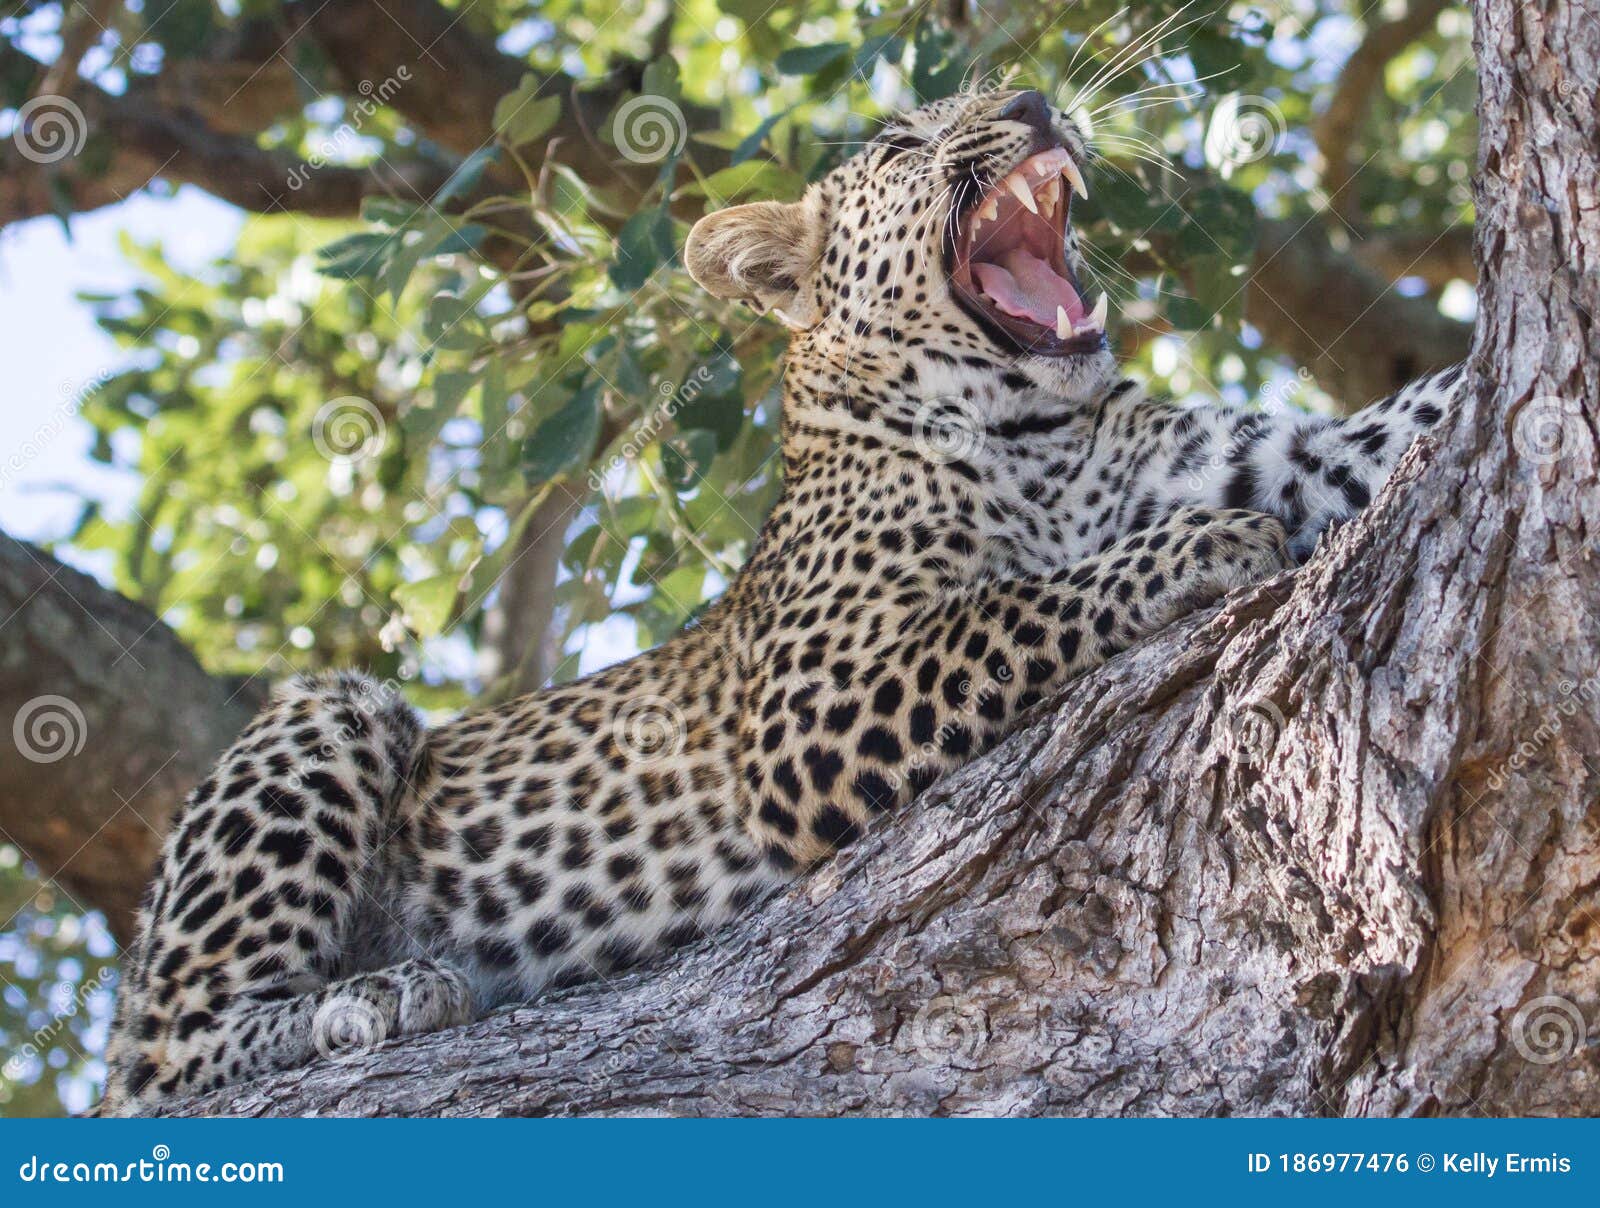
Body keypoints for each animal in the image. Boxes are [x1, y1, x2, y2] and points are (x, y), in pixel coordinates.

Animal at [97, 87, 1465, 1114]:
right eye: (905, 145)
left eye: (1008, 94)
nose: (1031, 103)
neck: (1036, 426)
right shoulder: (815, 700)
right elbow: (1024, 603)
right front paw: (1195, 549)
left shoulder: (1286, 456)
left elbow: (1400, 420)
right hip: (328, 719)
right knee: (168, 1055)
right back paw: (375, 994)